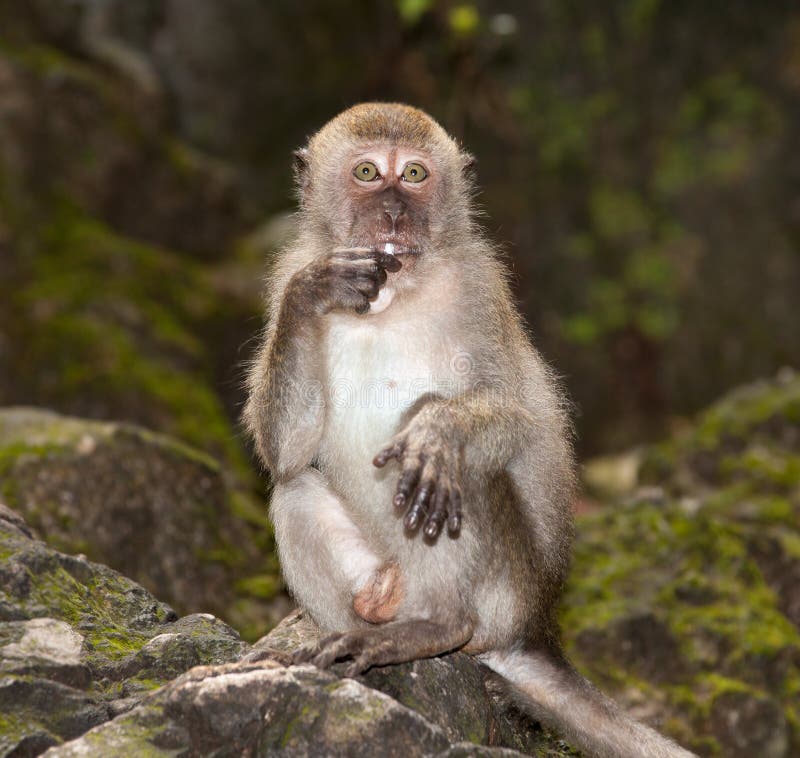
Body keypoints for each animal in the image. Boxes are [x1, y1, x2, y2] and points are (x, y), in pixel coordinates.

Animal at [243, 103, 696, 758]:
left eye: (412, 174)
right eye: (367, 172)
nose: (394, 212)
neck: (396, 293)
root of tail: (535, 626)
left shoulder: (481, 287)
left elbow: (519, 419)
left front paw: (439, 427)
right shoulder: (285, 276)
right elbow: (287, 449)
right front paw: (316, 293)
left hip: (504, 596)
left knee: (462, 473)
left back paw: (439, 625)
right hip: (386, 578)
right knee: (294, 485)